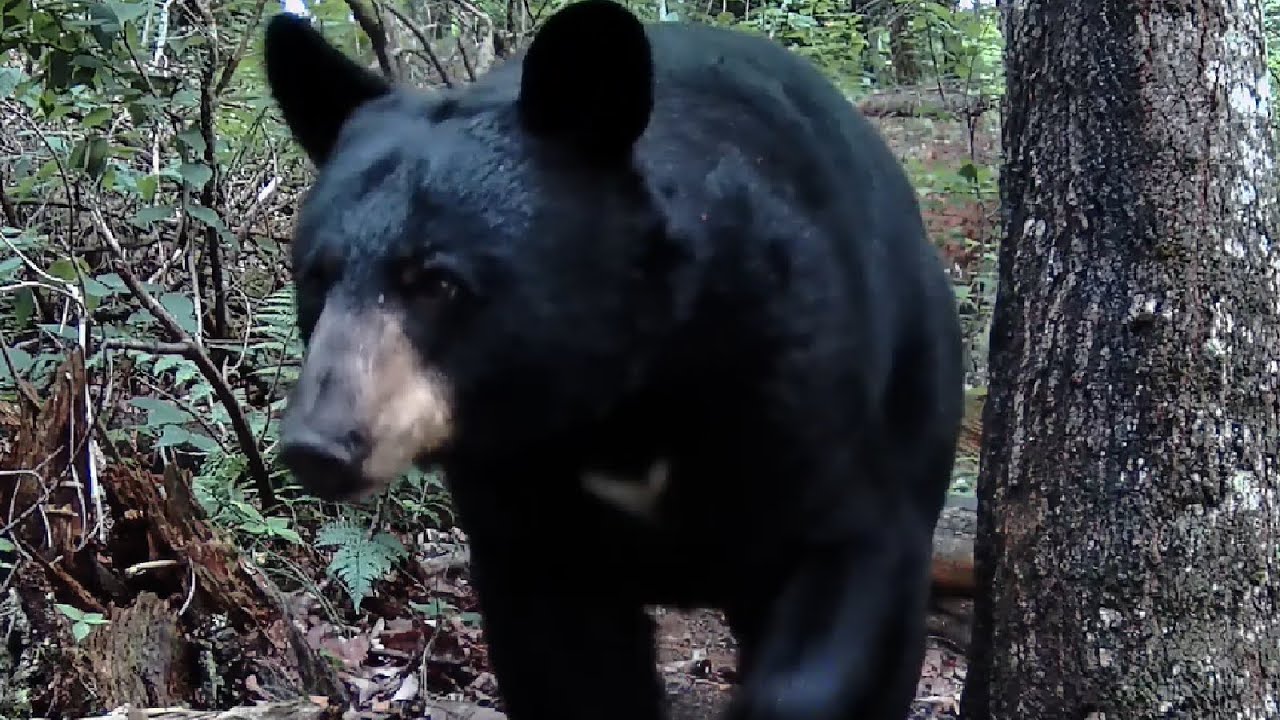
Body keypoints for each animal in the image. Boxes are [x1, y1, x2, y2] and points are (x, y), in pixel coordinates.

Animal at [265, 2, 965, 719]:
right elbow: (567, 660)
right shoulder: (519, 494)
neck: (613, 397)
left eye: (436, 282)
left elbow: (852, 552)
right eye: (317, 275)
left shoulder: (800, 382)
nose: (320, 444)